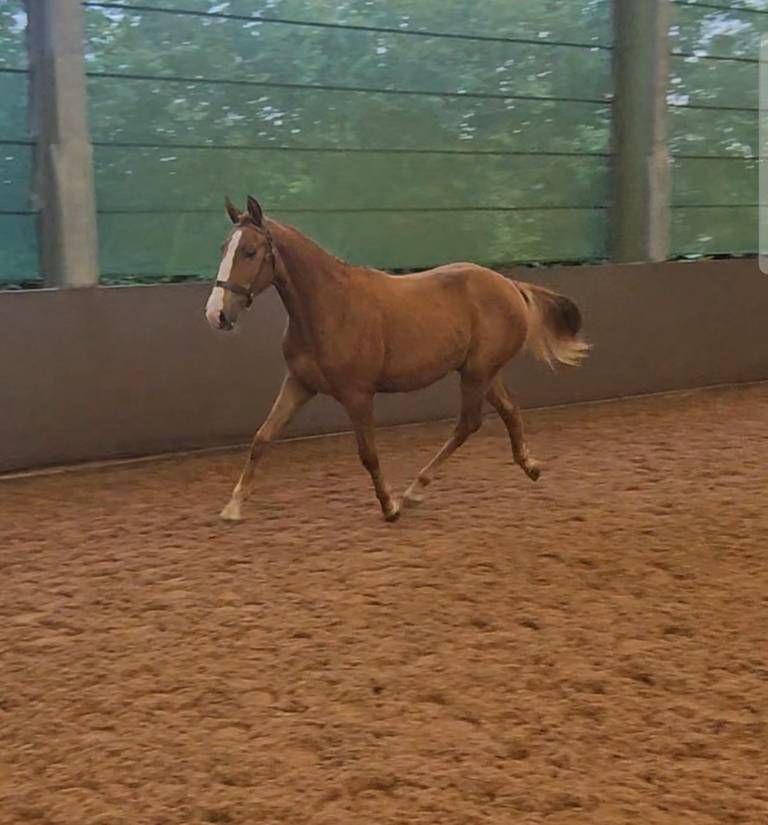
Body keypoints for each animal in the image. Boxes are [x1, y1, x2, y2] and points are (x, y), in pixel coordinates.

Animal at [205, 196, 589, 522]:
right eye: (224, 248)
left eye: (250, 252)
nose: (216, 315)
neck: (329, 307)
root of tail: (509, 285)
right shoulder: (300, 384)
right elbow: (262, 438)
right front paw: (232, 507)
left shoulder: (358, 395)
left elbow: (368, 453)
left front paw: (389, 506)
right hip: (481, 372)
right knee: (506, 411)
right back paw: (528, 466)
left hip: (477, 374)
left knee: (468, 423)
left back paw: (414, 491)